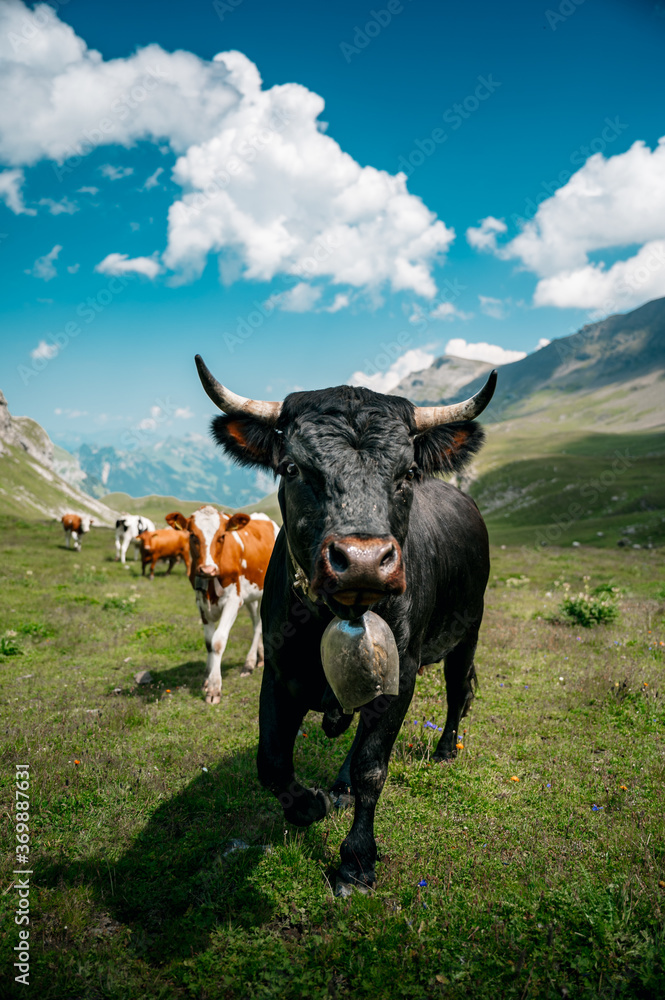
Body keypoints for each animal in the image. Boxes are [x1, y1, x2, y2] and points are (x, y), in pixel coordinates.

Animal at [165, 507, 279, 704]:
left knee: (259, 625)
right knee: (256, 622)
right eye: (192, 535)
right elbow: (209, 642)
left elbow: (218, 641)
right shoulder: (201, 602)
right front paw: (207, 678)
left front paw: (214, 688)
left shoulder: (233, 600)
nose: (207, 569)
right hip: (251, 596)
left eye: (222, 536)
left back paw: (248, 664)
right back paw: (259, 659)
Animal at [194, 354, 497, 895]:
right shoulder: (281, 673)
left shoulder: (401, 674)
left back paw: (445, 749)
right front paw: (311, 804)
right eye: (292, 467)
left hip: (469, 629)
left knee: (458, 691)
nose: (362, 561)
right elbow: (272, 764)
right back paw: (336, 784)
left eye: (408, 470)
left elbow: (372, 767)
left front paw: (356, 861)